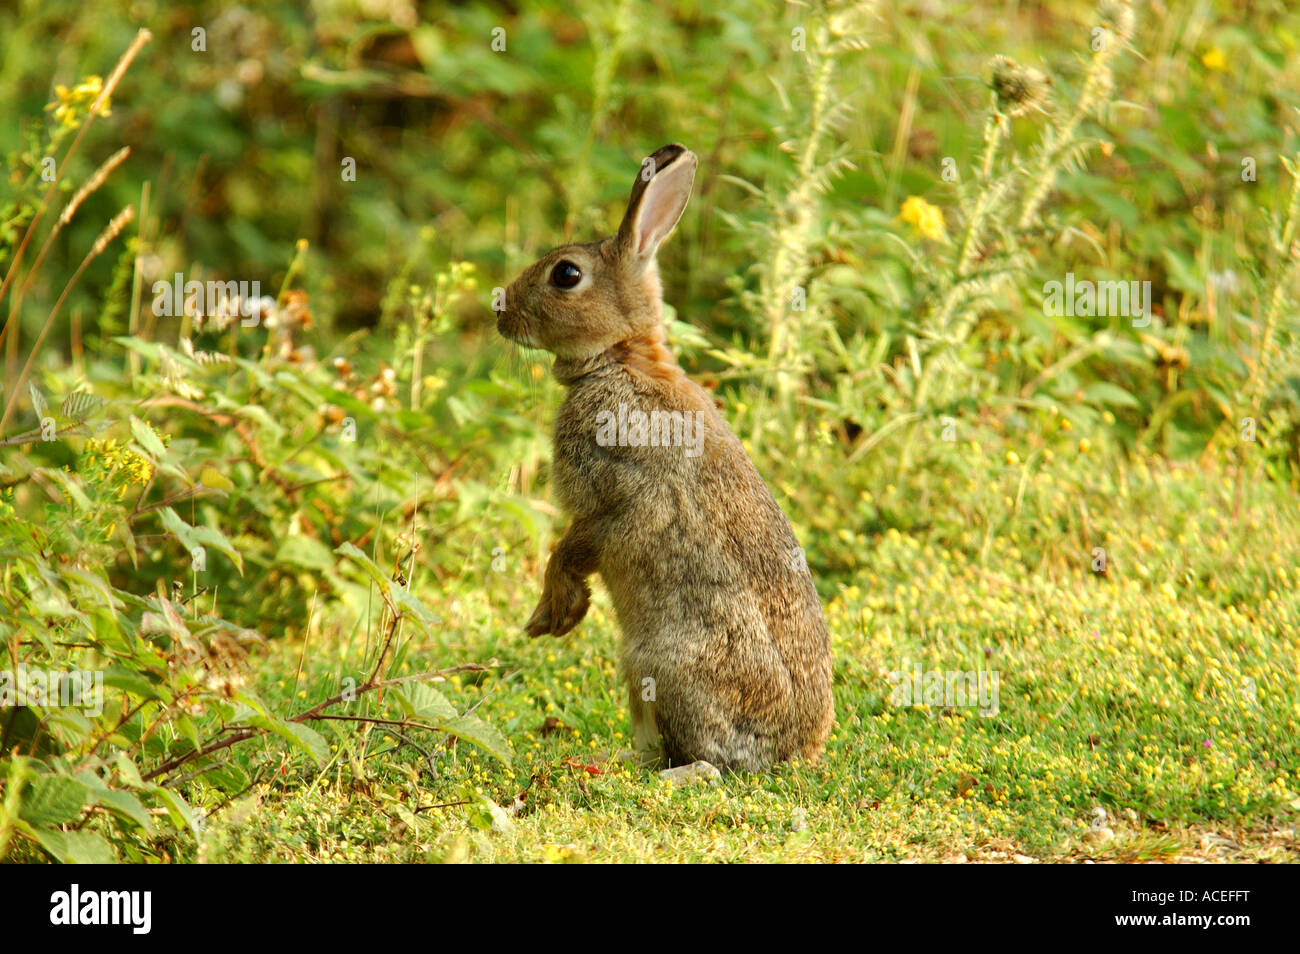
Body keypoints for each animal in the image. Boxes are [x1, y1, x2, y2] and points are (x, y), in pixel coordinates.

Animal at [497, 144, 833, 772]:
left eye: (566, 274)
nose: (499, 311)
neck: (621, 356)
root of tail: (796, 752)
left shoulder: (614, 500)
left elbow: (569, 551)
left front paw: (553, 614)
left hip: (661, 665)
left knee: (708, 765)